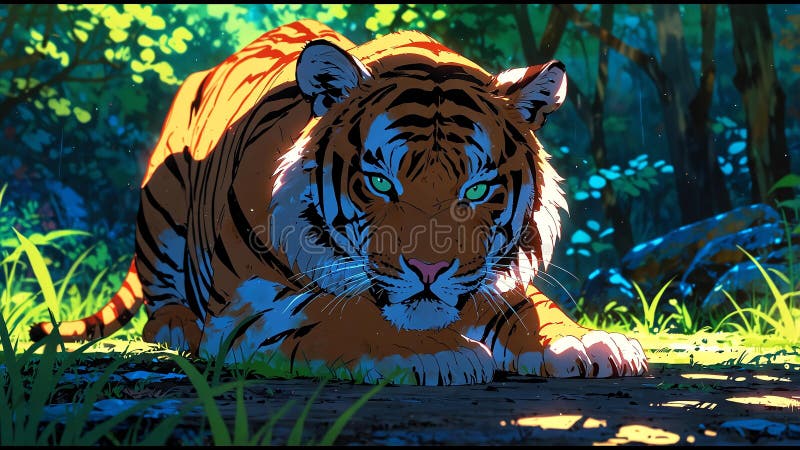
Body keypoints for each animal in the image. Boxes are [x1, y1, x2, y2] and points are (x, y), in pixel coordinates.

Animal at [31, 20, 647, 385]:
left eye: (475, 189)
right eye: (380, 182)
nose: (428, 270)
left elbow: (533, 309)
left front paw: (587, 341)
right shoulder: (252, 309)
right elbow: (345, 313)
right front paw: (437, 352)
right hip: (163, 198)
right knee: (160, 304)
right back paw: (178, 326)